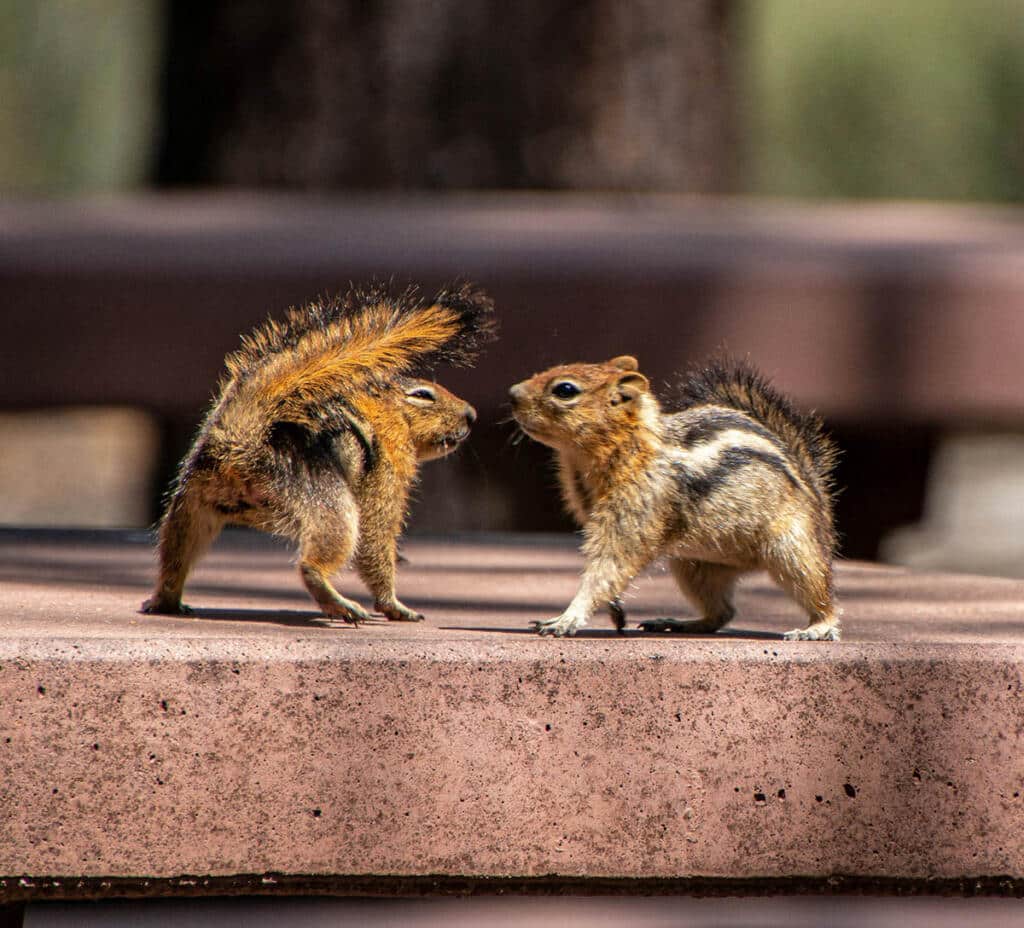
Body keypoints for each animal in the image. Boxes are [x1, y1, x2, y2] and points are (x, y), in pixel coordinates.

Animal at [142, 282, 495, 624]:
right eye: (422, 395)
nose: (471, 414)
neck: (386, 417)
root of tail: (243, 441)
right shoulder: (386, 474)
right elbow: (375, 539)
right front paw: (394, 605)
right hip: (326, 500)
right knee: (314, 561)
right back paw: (340, 603)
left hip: (192, 505)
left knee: (175, 557)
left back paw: (165, 601)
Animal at [509, 355, 840, 640]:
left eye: (565, 389)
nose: (513, 393)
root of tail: (816, 494)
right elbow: (609, 569)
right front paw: (613, 607)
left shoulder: (636, 509)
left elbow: (611, 563)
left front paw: (568, 617)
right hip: (694, 566)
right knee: (722, 613)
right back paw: (679, 623)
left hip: (792, 549)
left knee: (821, 596)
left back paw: (817, 628)